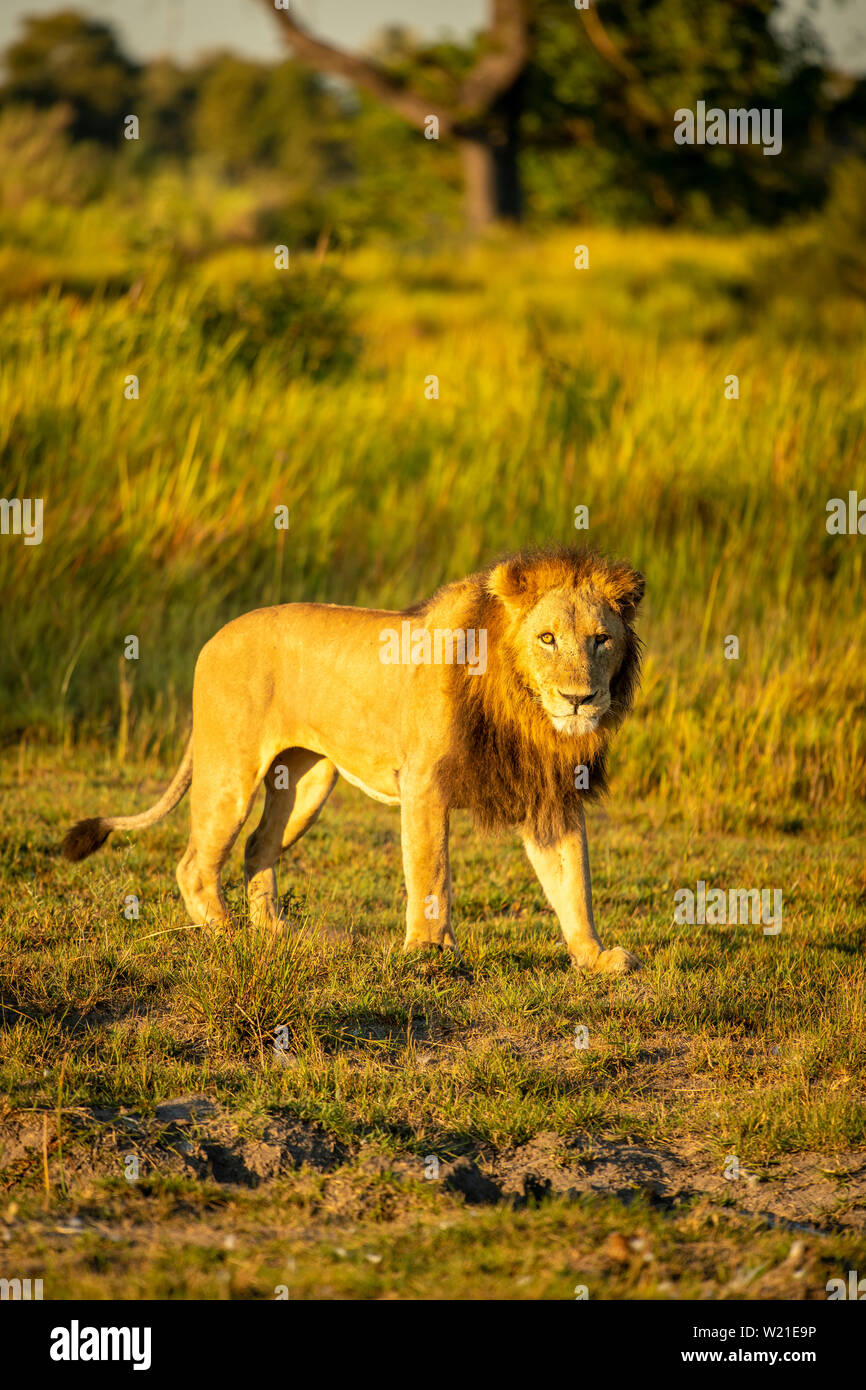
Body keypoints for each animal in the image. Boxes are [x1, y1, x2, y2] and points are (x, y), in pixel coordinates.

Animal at [62, 545, 645, 973]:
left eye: (601, 640)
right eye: (547, 638)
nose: (579, 699)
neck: (526, 710)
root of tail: (214, 638)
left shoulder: (552, 793)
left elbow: (574, 881)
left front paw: (596, 958)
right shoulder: (424, 782)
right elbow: (431, 871)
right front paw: (429, 952)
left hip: (305, 783)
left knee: (257, 846)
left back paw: (272, 934)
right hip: (230, 770)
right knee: (196, 863)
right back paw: (225, 934)